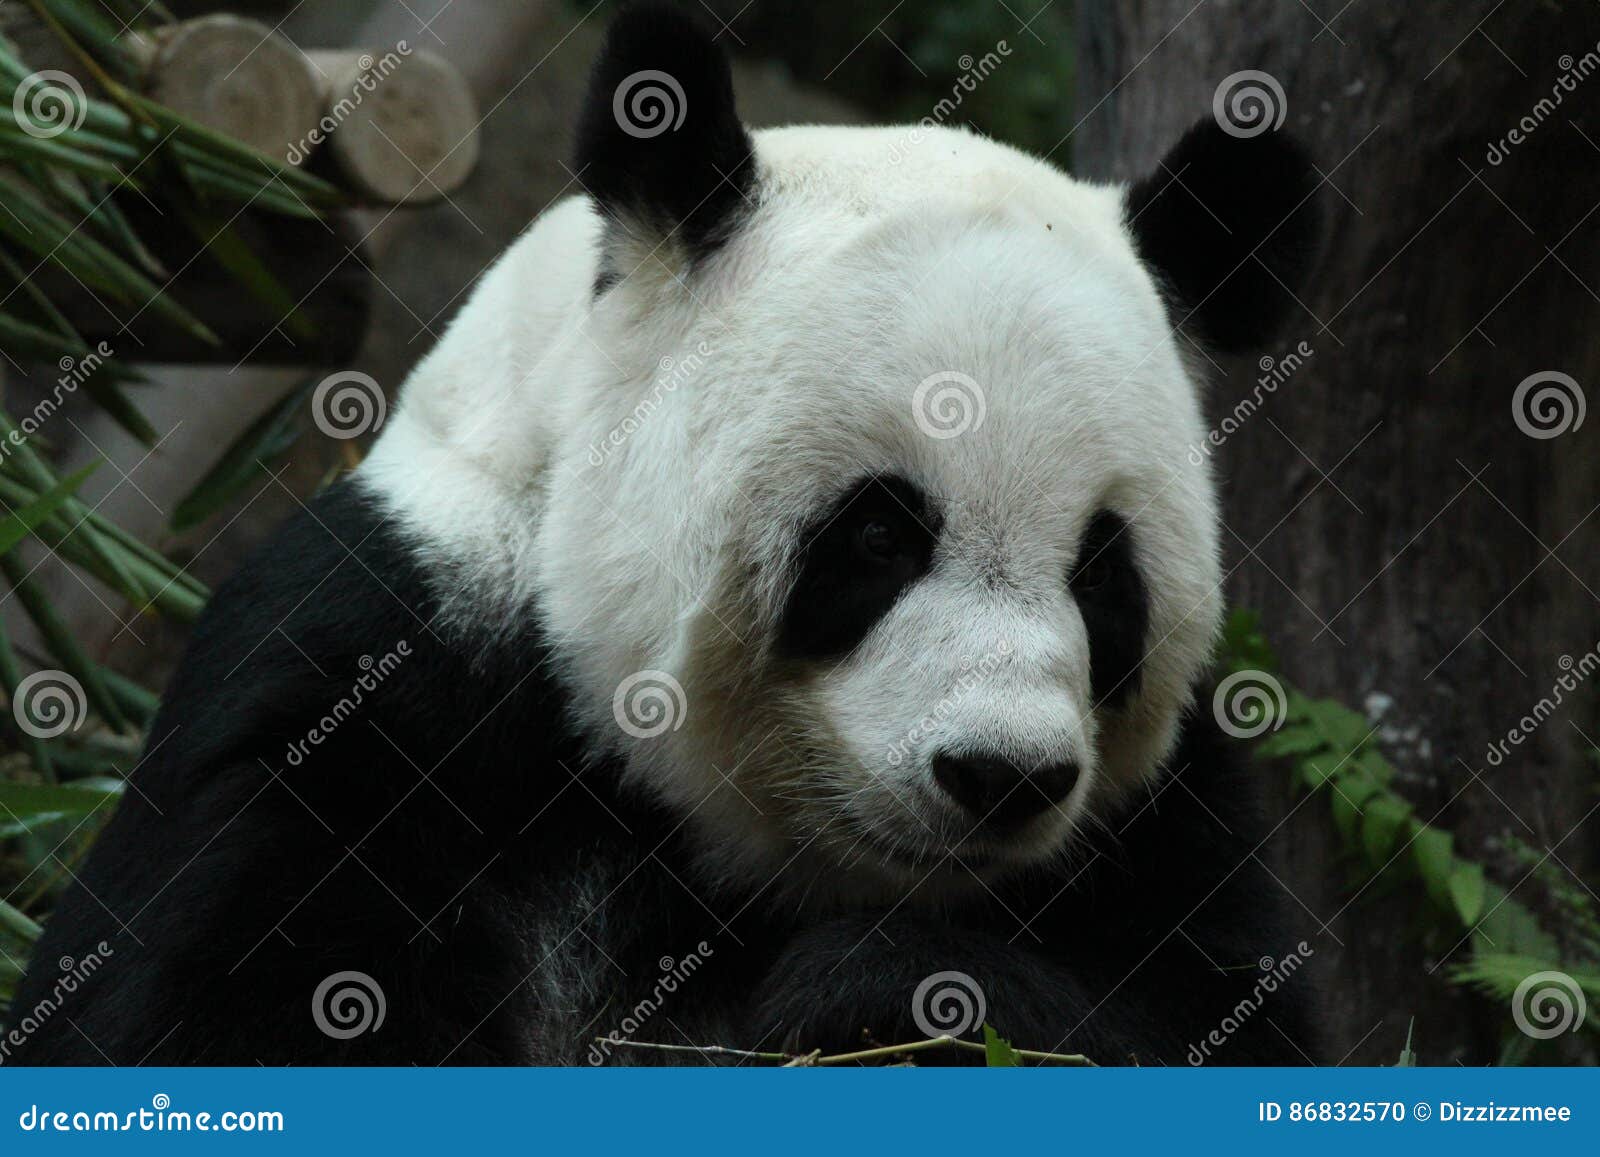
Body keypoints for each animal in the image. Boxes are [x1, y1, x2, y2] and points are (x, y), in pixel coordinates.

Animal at [7, 3, 1322, 1066]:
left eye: (1103, 576)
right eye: (878, 538)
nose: (1001, 775)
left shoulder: (1172, 805)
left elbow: (1224, 1018)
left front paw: (877, 987)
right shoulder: (369, 673)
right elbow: (186, 1010)